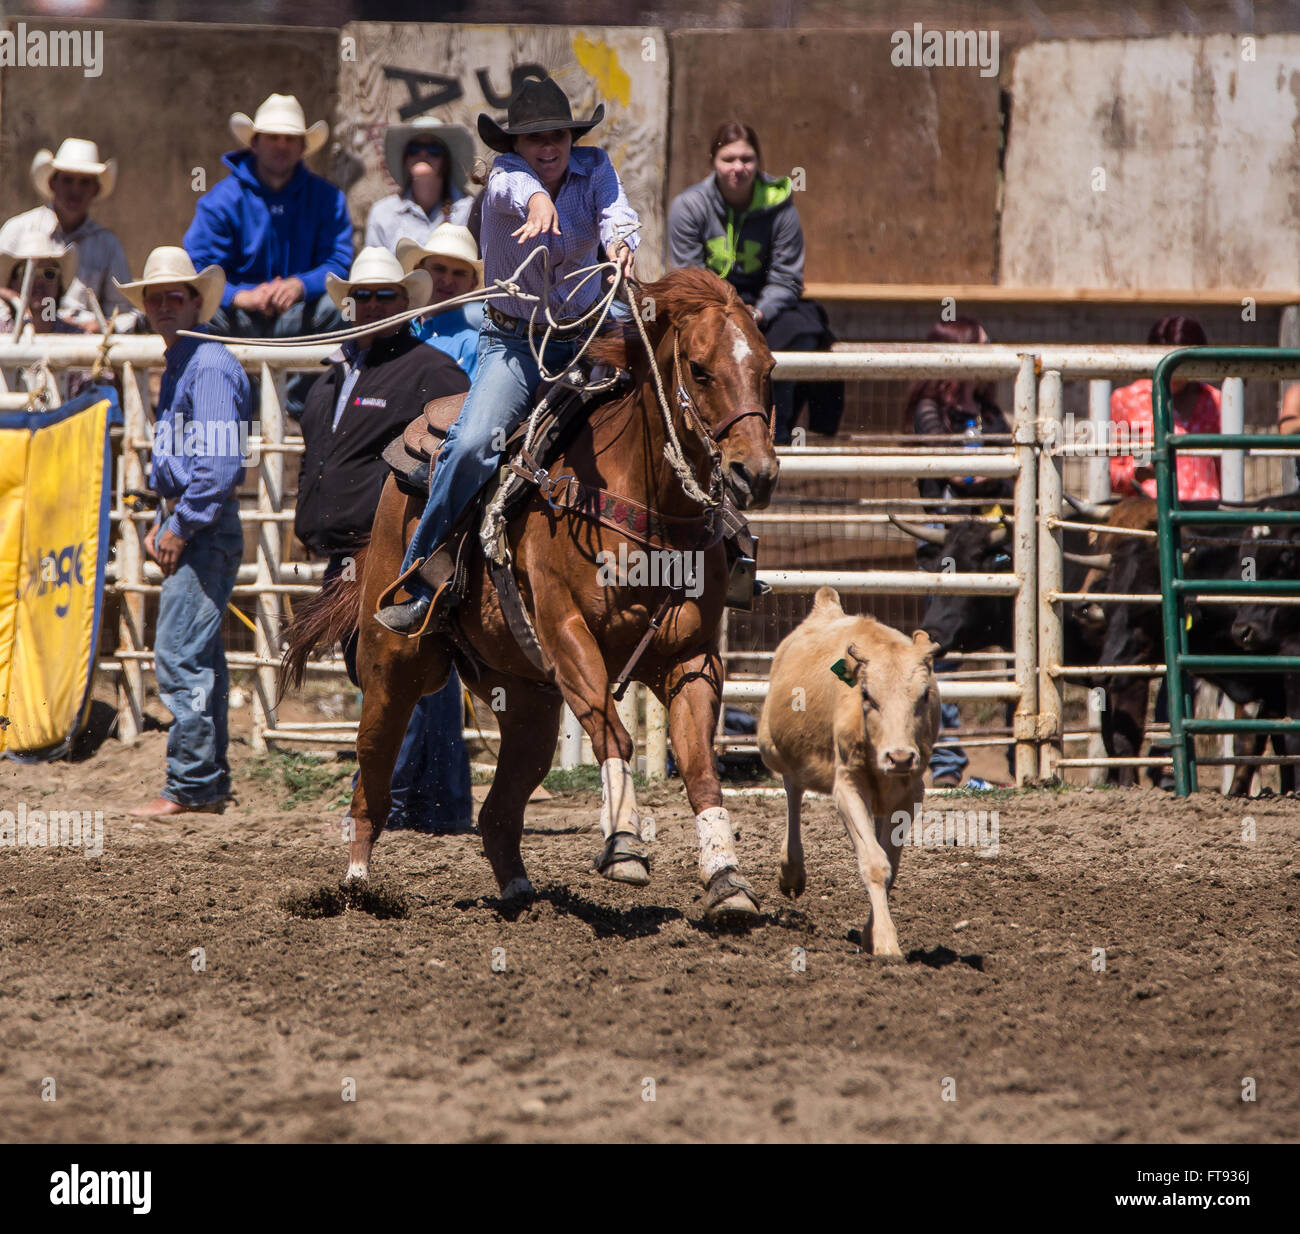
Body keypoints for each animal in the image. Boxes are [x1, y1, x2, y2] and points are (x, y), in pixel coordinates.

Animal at [757, 586, 941, 958]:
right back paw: (791, 869)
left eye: (924, 694)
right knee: (793, 788)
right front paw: (885, 941)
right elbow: (874, 862)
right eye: (867, 695)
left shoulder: (910, 793)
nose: (900, 757)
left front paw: (871, 933)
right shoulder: (847, 788)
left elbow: (890, 863)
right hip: (774, 748)